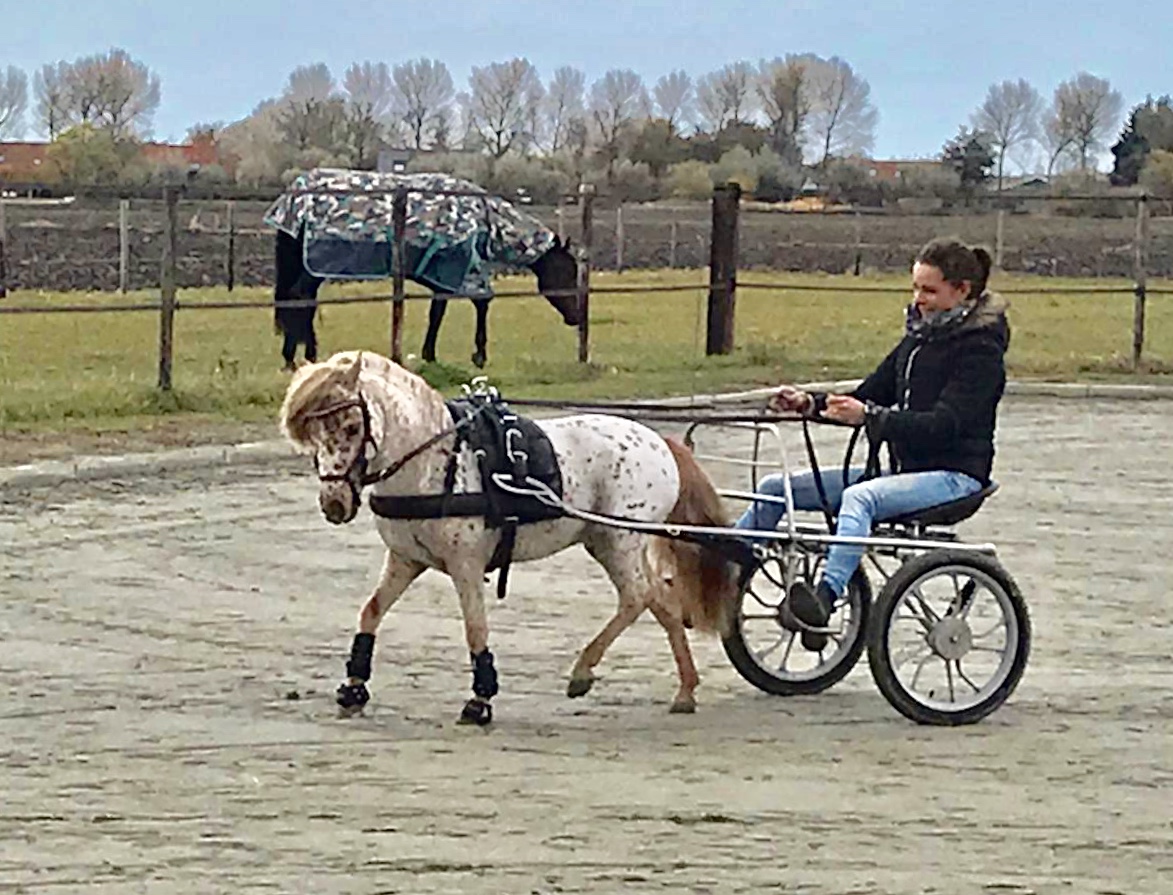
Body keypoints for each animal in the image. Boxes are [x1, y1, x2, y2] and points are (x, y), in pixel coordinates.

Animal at [278, 349, 743, 725]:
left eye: (351, 426)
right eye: (313, 435)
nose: (334, 503)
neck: (432, 461)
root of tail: (659, 441)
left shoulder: (465, 566)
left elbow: (475, 629)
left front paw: (480, 700)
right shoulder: (405, 560)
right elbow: (371, 613)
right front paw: (353, 687)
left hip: (620, 538)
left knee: (637, 597)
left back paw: (583, 670)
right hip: (602, 540)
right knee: (660, 601)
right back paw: (685, 688)